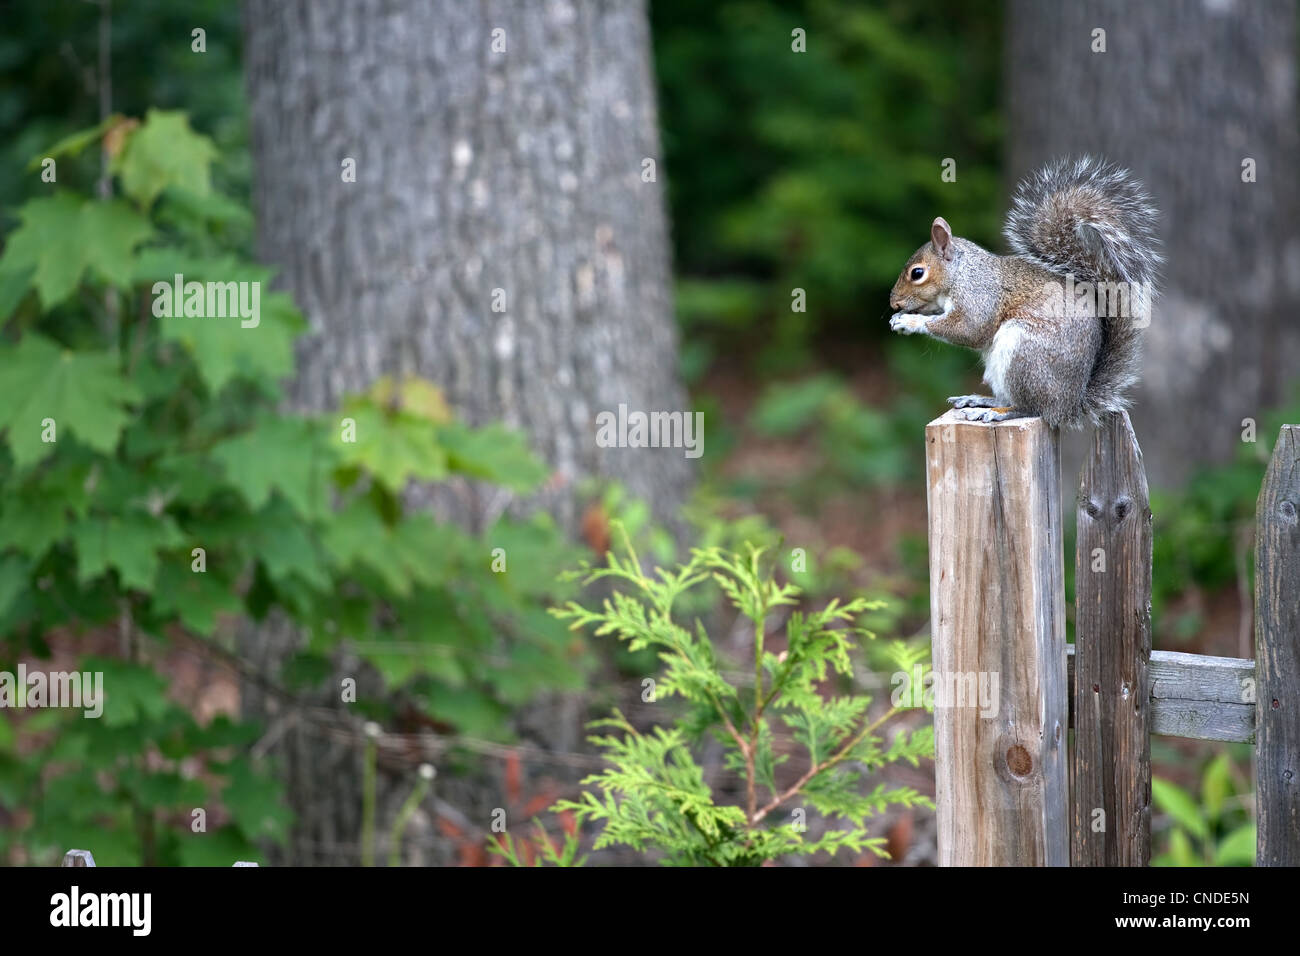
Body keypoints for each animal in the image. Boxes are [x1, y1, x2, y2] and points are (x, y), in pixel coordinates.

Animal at [888, 156, 1161, 428]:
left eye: (917, 273)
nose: (894, 304)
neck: (961, 273)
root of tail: (1068, 406)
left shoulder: (979, 295)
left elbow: (969, 329)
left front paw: (910, 321)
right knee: (1008, 398)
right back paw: (980, 400)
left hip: (1023, 356)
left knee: (1031, 408)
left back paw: (998, 413)